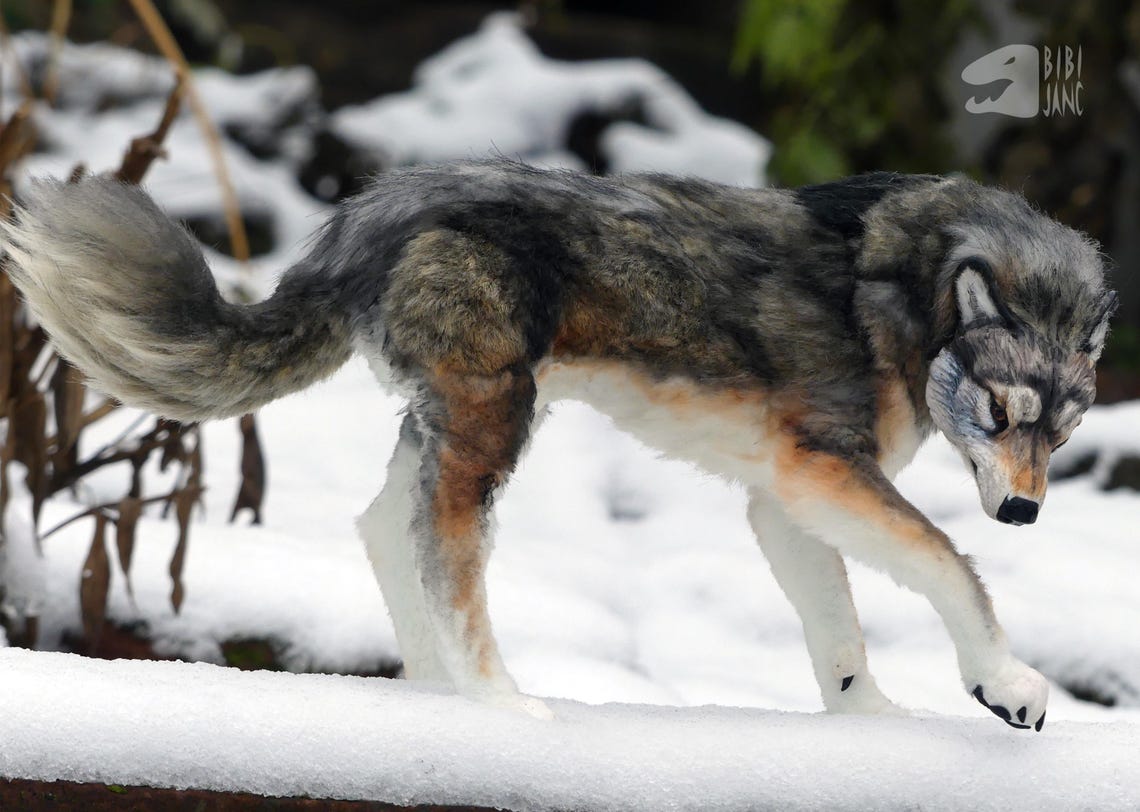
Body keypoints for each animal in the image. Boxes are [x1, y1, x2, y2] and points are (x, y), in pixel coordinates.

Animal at [2, 161, 1114, 730]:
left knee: (383, 531)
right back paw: (501, 702)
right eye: (1001, 411)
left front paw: (871, 721)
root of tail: (365, 212)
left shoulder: (785, 494)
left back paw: (440, 696)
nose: (1025, 510)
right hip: (494, 427)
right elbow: (952, 566)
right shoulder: (821, 471)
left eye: (1063, 430)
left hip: (455, 423)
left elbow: (840, 633)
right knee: (446, 559)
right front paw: (1006, 683)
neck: (910, 286)